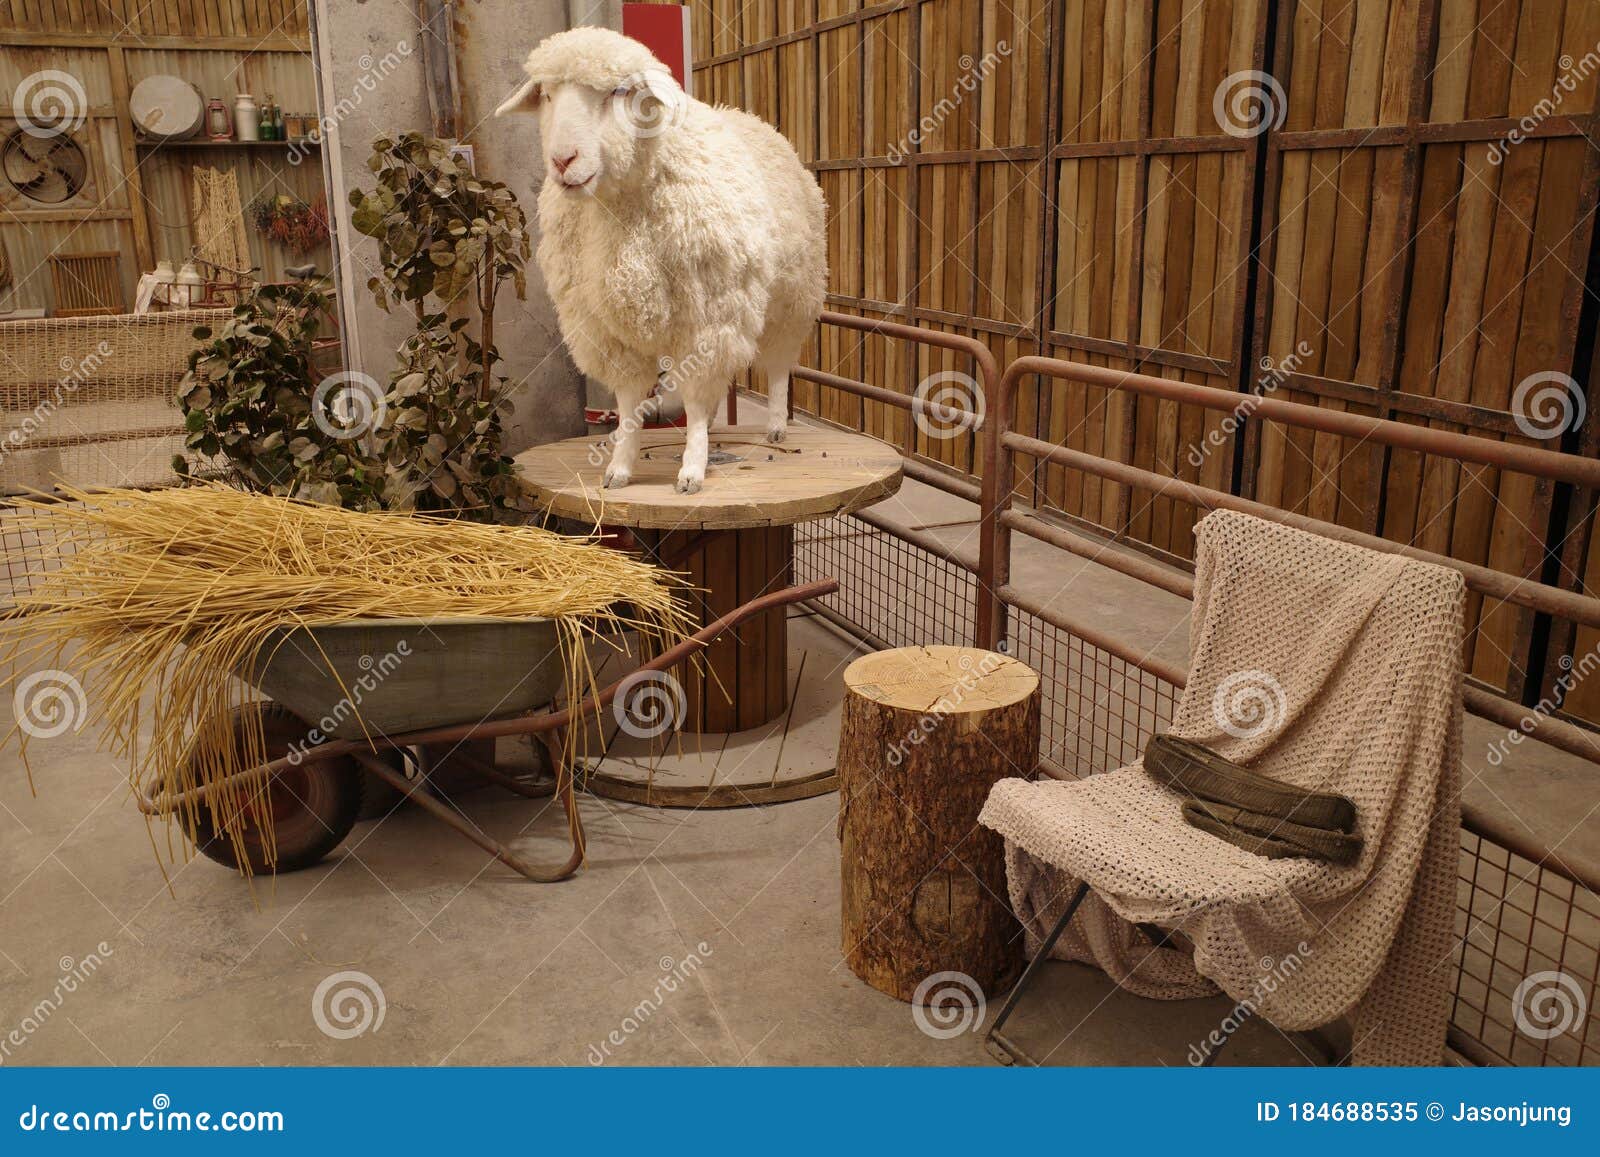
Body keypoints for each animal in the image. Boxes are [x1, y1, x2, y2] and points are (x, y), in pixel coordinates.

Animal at [496, 27, 826, 494]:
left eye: (618, 91)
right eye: (545, 94)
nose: (563, 160)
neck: (618, 209)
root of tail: (752, 119)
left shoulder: (705, 319)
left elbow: (693, 399)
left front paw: (692, 469)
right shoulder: (608, 331)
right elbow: (630, 403)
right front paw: (620, 466)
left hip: (793, 294)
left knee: (780, 363)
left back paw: (777, 425)